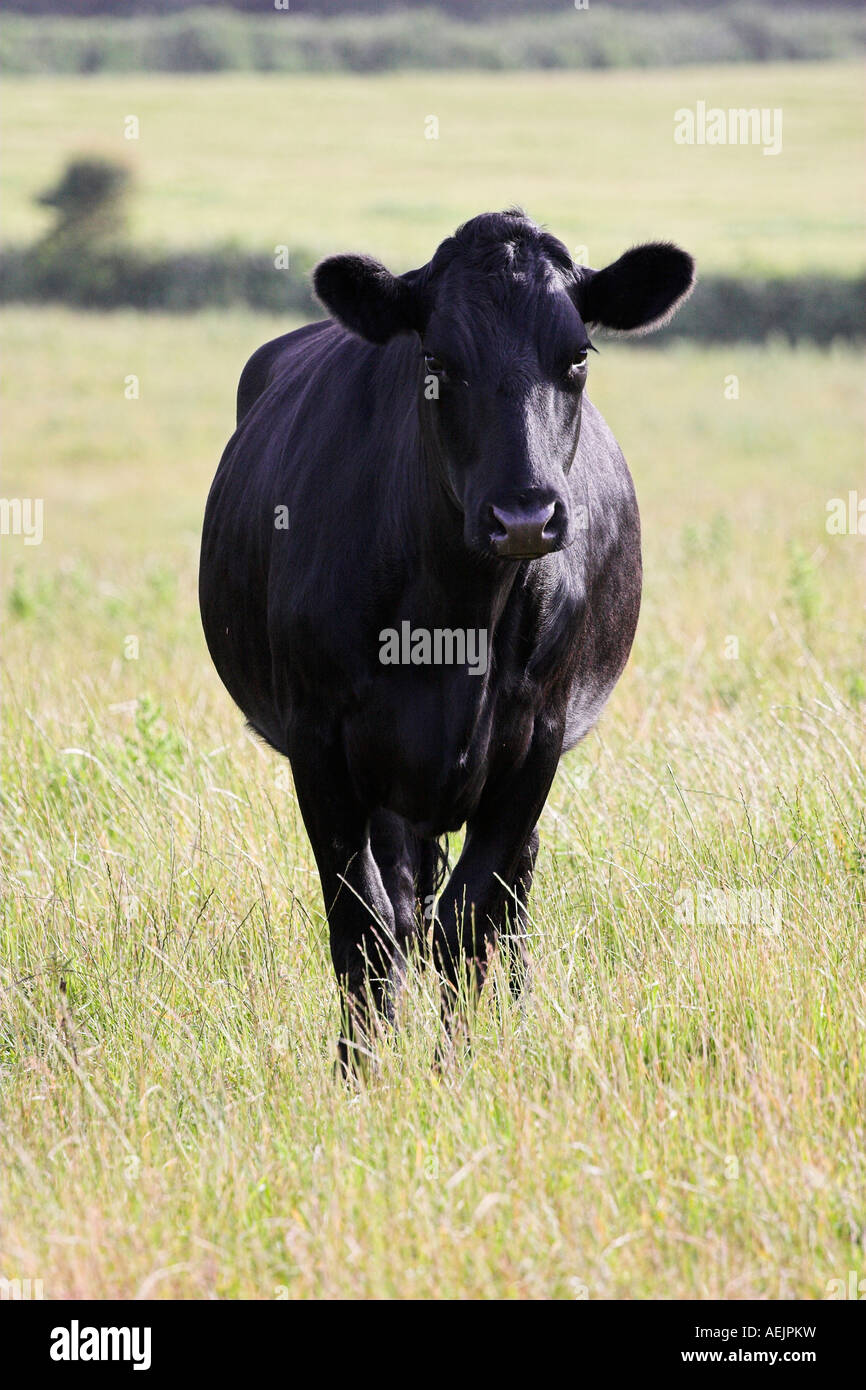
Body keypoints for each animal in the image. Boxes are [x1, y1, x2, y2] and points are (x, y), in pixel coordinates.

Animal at [199, 209, 694, 1070]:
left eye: (577, 356)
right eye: (436, 361)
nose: (524, 515)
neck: (455, 619)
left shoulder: (536, 739)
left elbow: (471, 918)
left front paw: (456, 1067)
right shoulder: (318, 741)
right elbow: (362, 921)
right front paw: (359, 1071)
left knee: (506, 891)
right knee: (402, 904)